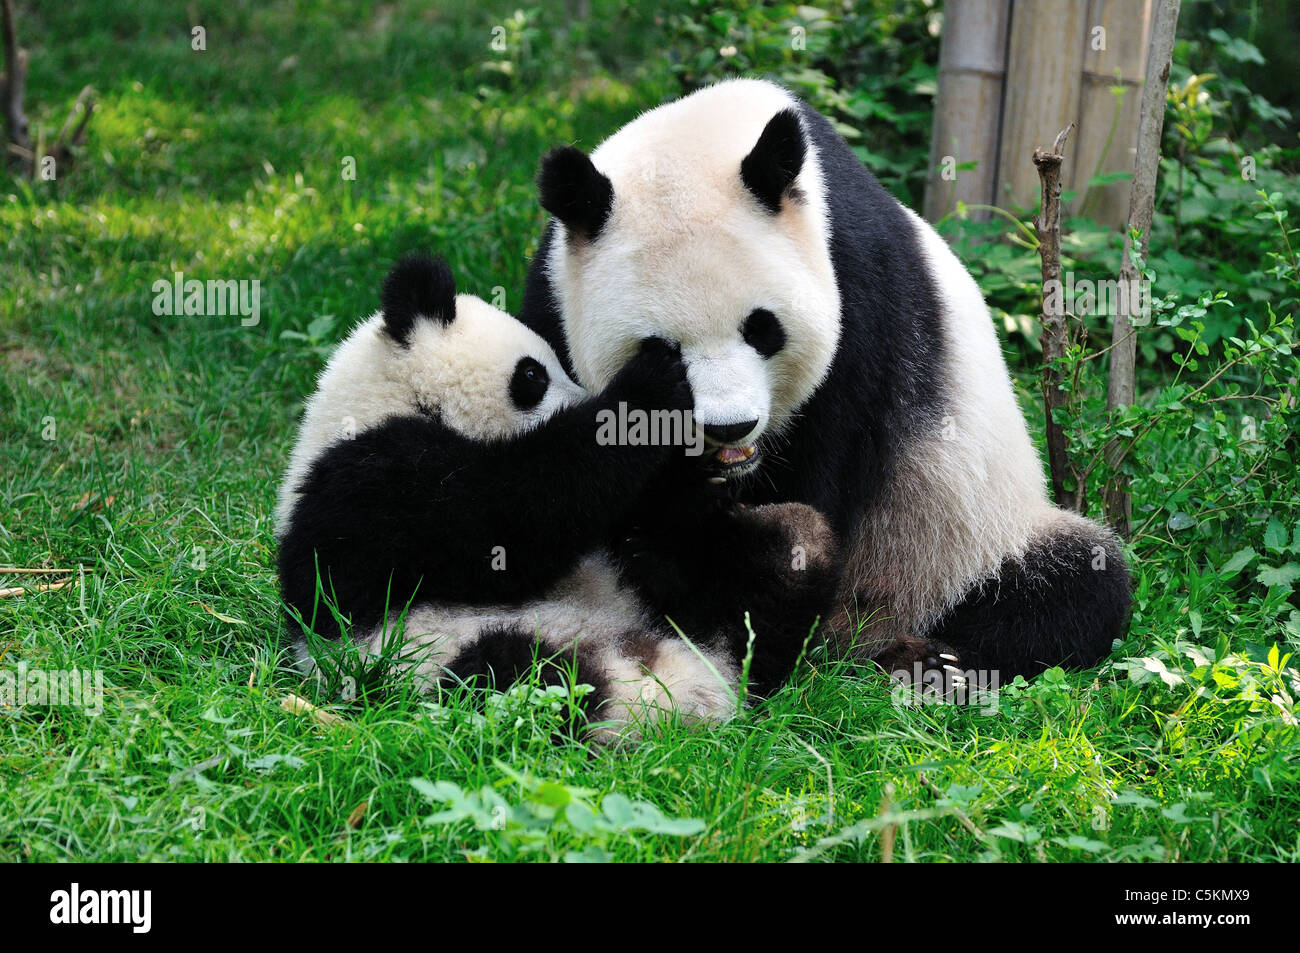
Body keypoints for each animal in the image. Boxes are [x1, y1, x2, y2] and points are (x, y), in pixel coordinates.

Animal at [275, 253, 840, 734]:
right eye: (532, 374)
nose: (584, 396)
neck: (390, 400)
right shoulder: (367, 484)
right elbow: (509, 517)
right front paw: (650, 387)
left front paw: (691, 482)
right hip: (419, 651)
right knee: (505, 676)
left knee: (785, 552)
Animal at [519, 78, 1132, 681]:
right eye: (661, 350)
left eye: (761, 330)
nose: (730, 427)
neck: (699, 141)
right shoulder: (555, 296)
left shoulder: (858, 295)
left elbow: (818, 478)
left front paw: (736, 580)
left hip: (962, 538)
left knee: (1074, 585)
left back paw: (930, 659)